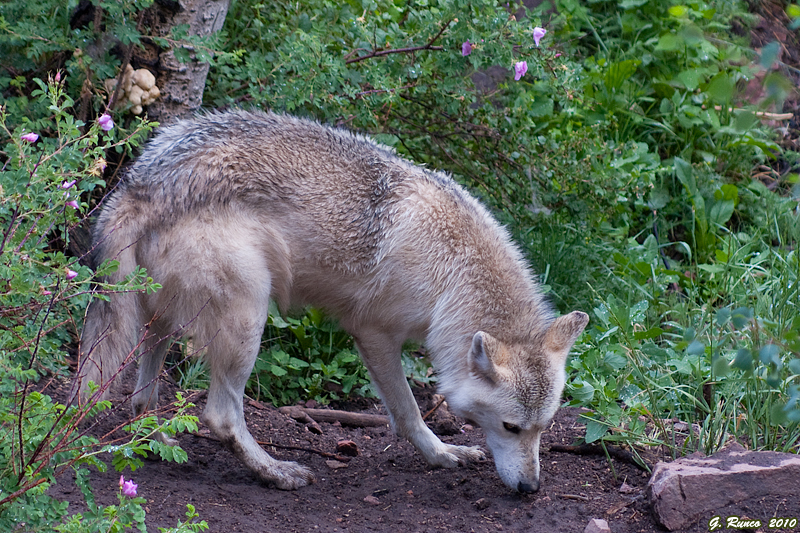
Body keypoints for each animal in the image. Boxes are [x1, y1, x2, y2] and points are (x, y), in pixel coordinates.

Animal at [75, 109, 588, 492]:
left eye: (544, 428)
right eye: (510, 427)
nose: (531, 489)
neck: (452, 269)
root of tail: (137, 185)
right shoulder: (375, 335)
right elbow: (408, 412)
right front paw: (440, 455)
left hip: (161, 322)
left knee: (141, 398)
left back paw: (159, 445)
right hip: (248, 320)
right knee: (219, 416)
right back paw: (276, 472)